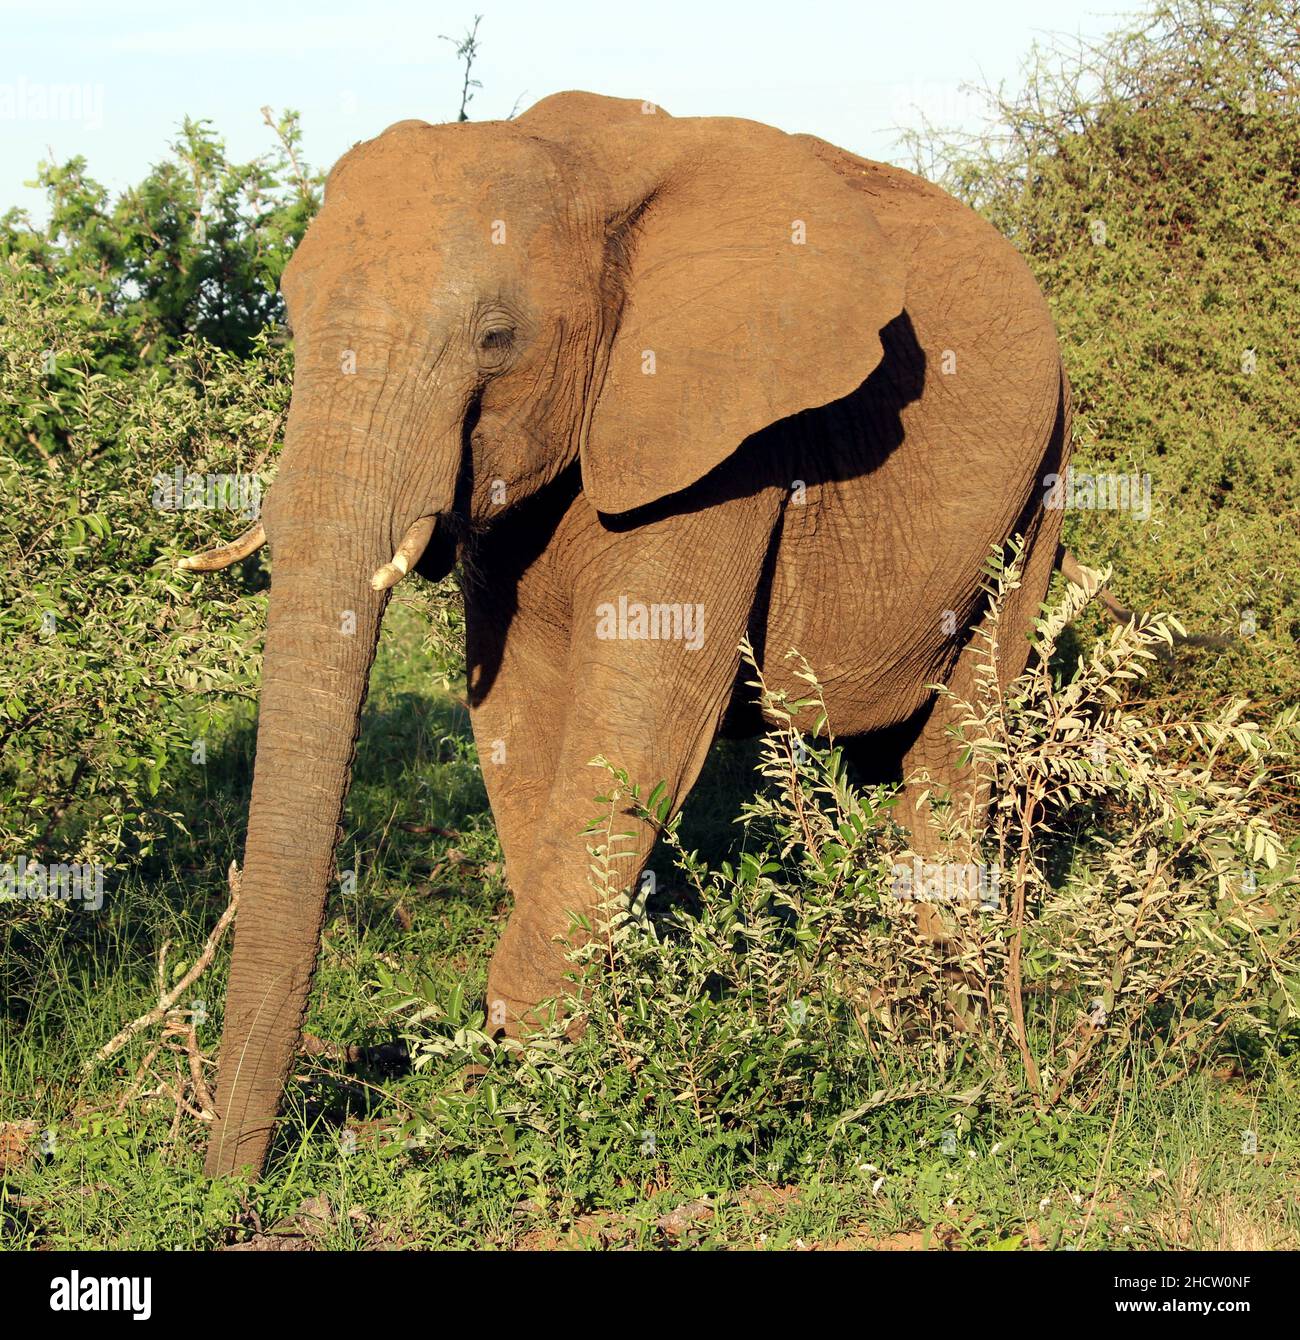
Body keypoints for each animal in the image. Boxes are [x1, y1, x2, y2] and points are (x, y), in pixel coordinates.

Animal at [181, 91, 1072, 1178]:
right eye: (292, 320)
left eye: (495, 337)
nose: (229, 1188)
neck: (580, 173)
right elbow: (516, 710)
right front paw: (577, 1047)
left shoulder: (723, 435)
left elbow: (639, 718)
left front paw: (524, 1085)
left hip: (1042, 479)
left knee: (957, 751)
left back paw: (940, 1038)